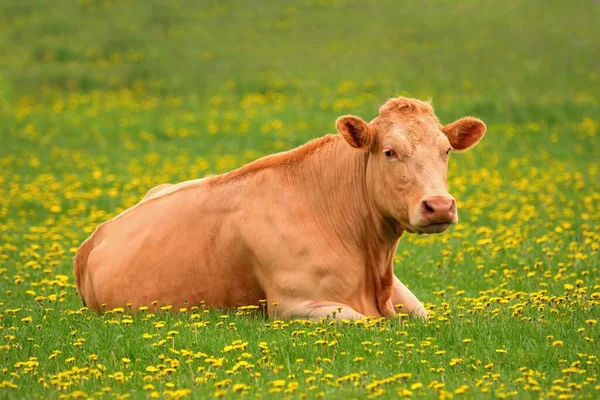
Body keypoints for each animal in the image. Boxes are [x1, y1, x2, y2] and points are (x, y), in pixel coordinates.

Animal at [76, 97, 488, 322]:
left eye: (446, 150)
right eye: (390, 151)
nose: (439, 206)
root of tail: (95, 237)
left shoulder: (406, 300)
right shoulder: (295, 305)